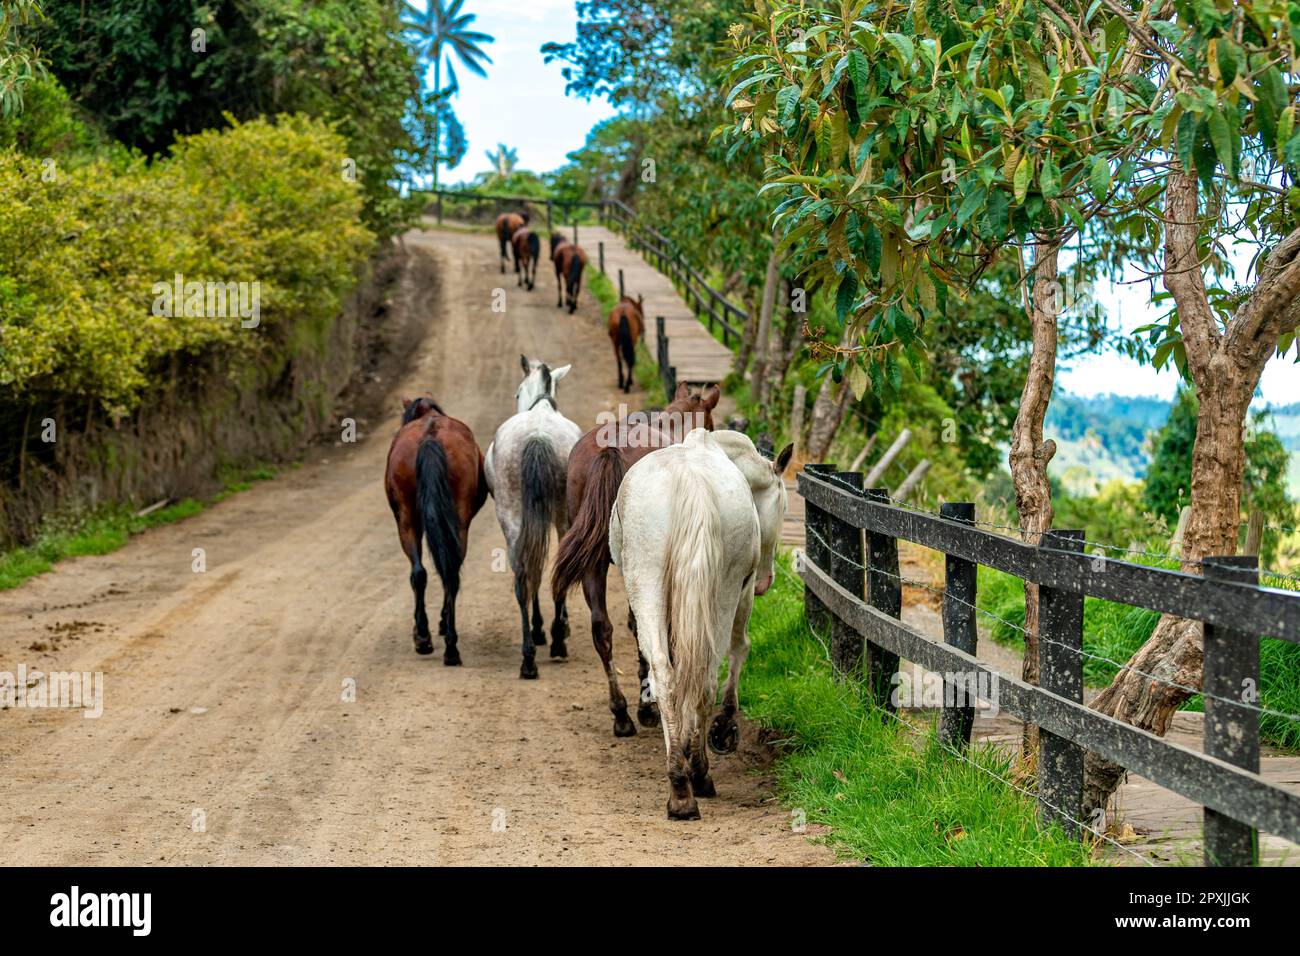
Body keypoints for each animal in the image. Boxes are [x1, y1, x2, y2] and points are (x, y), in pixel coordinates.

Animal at [384, 396, 488, 665]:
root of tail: (431, 436)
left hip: (409, 519)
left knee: (426, 572)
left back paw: (428, 637)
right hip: (453, 521)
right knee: (442, 573)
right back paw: (446, 645)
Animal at [483, 356, 582, 679]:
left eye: (516, 393)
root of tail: (537, 436)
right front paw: (554, 629)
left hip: (512, 514)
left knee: (522, 576)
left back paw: (528, 658)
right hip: (563, 515)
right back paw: (555, 641)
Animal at [609, 428, 792, 819]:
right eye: (783, 507)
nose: (766, 581)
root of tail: (689, 482)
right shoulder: (742, 592)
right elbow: (740, 648)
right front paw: (724, 726)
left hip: (648, 585)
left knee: (667, 675)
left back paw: (680, 785)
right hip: (723, 592)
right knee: (705, 677)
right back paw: (698, 773)